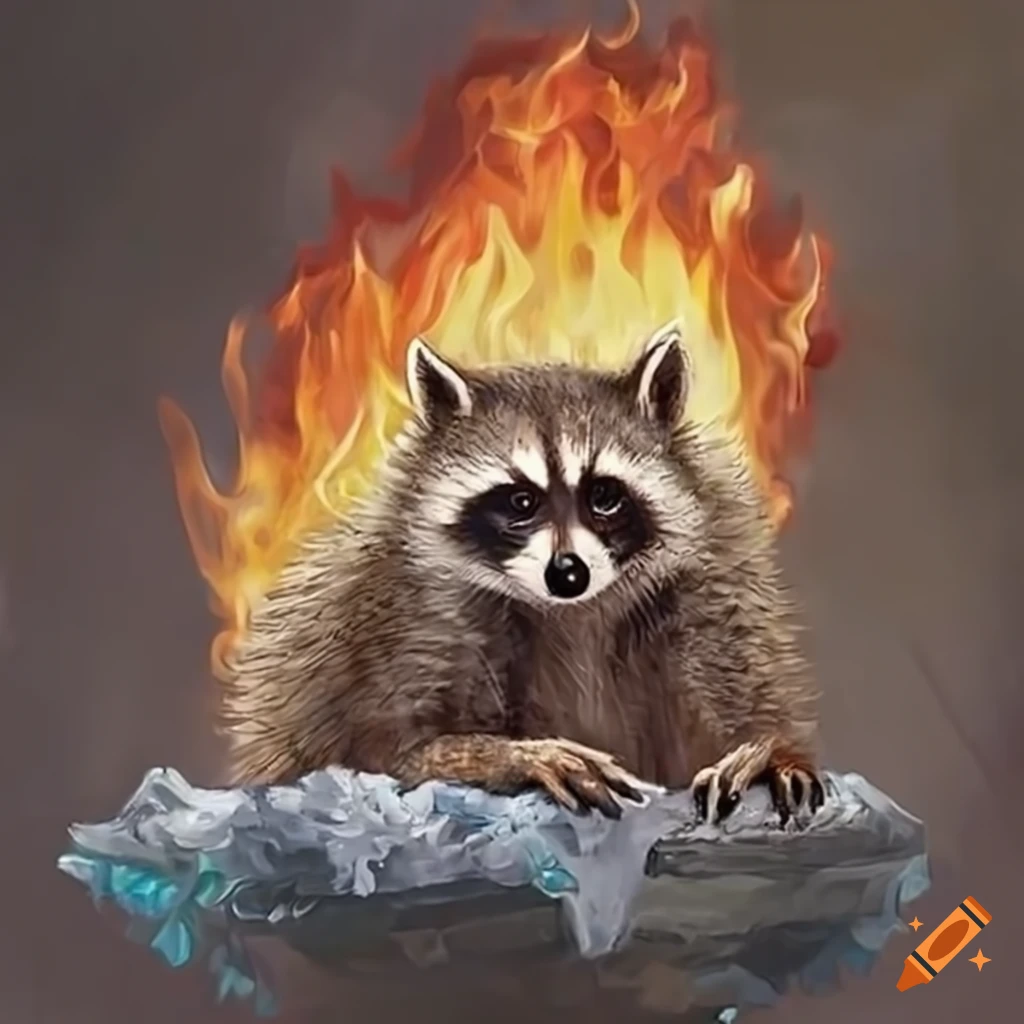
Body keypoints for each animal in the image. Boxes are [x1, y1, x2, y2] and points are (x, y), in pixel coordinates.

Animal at [223, 324, 823, 824]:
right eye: (520, 501)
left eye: (604, 497)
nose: (568, 574)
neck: (575, 610)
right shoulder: (403, 615)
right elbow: (387, 752)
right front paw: (508, 754)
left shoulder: (712, 572)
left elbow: (730, 695)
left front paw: (769, 748)